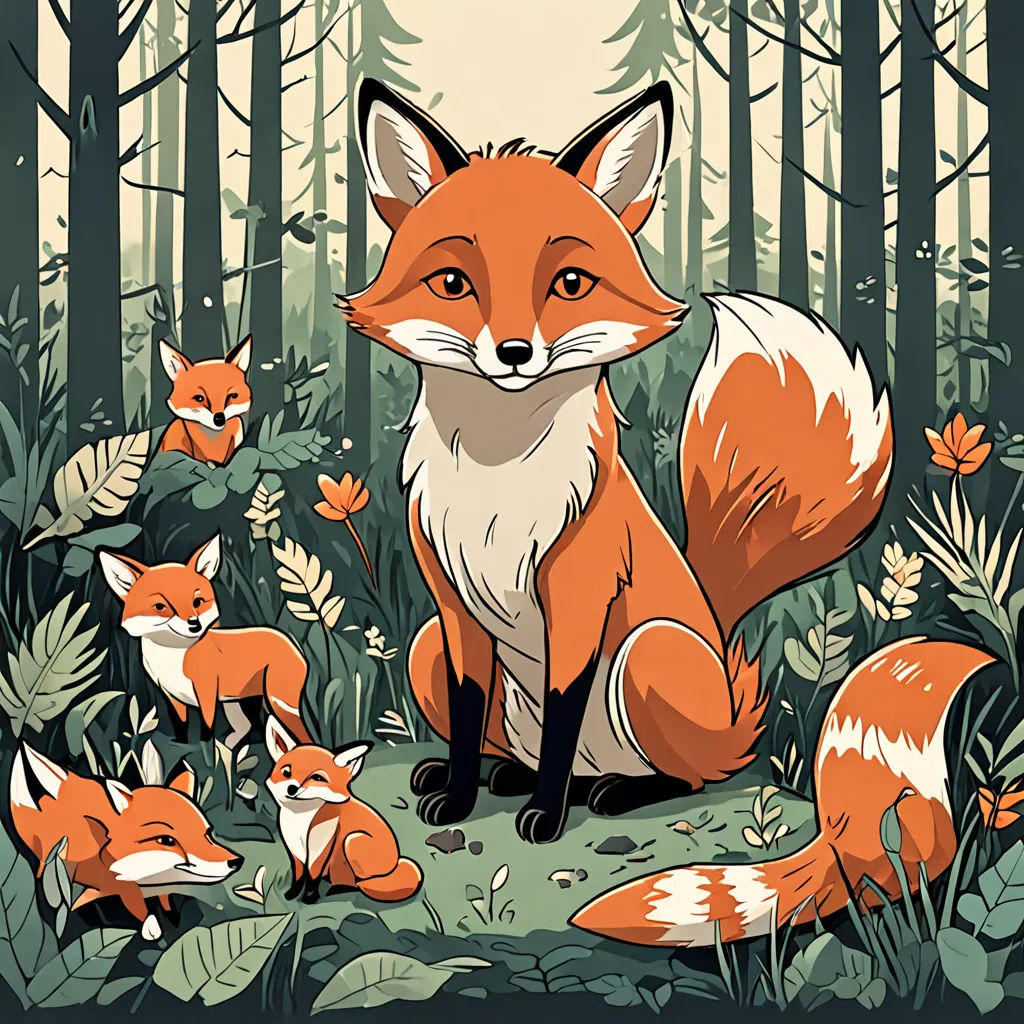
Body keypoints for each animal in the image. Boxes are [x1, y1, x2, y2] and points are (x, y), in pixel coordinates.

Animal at [9, 744, 242, 941]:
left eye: (208, 833)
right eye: (166, 840)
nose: (236, 861)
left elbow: (165, 901)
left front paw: (171, 915)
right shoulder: (118, 886)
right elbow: (137, 907)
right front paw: (151, 927)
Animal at [98, 533, 311, 748]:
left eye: (197, 602)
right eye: (160, 606)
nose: (194, 624)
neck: (172, 658)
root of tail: (292, 643)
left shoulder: (206, 691)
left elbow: (207, 728)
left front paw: (206, 746)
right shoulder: (171, 696)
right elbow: (180, 725)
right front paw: (183, 744)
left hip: (278, 703)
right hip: (238, 702)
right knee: (248, 726)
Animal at [264, 717, 423, 904]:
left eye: (317, 778)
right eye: (286, 772)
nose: (292, 789)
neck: (300, 819)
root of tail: (396, 864)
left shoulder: (321, 846)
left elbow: (312, 875)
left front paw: (309, 897)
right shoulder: (294, 848)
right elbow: (298, 875)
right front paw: (292, 893)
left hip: (352, 840)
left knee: (359, 882)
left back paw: (339, 888)